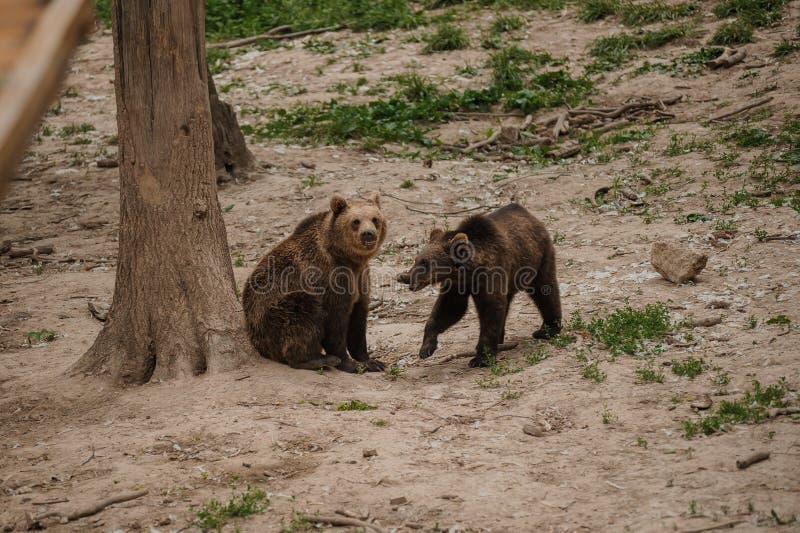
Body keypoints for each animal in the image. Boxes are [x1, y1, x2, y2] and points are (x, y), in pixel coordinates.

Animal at [242, 194, 387, 373]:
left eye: (375, 219)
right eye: (356, 221)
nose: (368, 234)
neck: (348, 258)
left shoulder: (360, 279)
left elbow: (358, 321)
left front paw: (371, 361)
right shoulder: (331, 278)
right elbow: (335, 322)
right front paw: (349, 363)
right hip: (270, 317)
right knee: (302, 312)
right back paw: (319, 360)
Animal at [397, 203, 562, 368]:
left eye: (425, 263)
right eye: (417, 260)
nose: (407, 278)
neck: (470, 272)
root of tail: (529, 214)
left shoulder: (491, 275)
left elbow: (490, 310)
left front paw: (481, 358)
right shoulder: (458, 285)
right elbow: (449, 309)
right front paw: (426, 348)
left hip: (538, 258)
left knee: (545, 290)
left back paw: (548, 329)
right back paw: (501, 339)